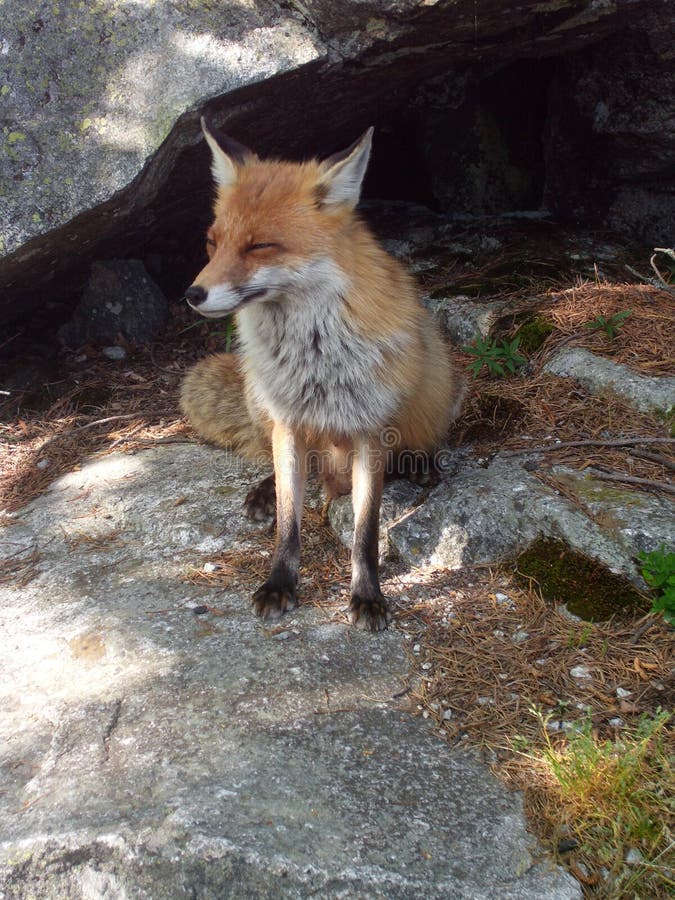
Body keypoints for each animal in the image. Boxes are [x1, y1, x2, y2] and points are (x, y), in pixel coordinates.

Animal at [180, 118, 465, 631]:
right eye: (212, 244)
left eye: (260, 246)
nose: (193, 294)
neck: (313, 353)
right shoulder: (288, 423)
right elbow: (289, 522)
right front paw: (280, 583)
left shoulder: (370, 430)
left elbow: (366, 532)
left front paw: (367, 595)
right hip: (258, 393)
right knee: (285, 466)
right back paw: (265, 490)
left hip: (433, 370)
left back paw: (419, 461)